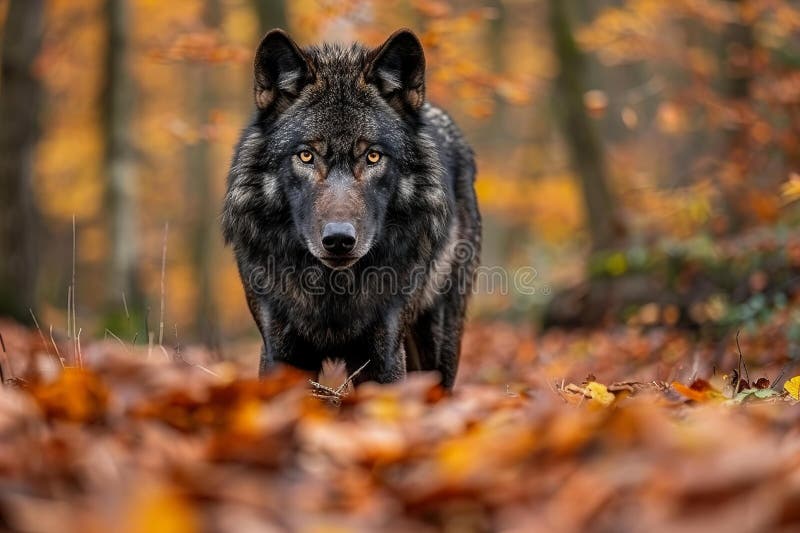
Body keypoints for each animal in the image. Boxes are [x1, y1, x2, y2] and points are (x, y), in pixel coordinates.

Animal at [221, 28, 481, 389]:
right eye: (306, 155)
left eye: (373, 156)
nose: (339, 240)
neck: (334, 290)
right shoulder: (280, 351)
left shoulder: (384, 353)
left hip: (438, 339)